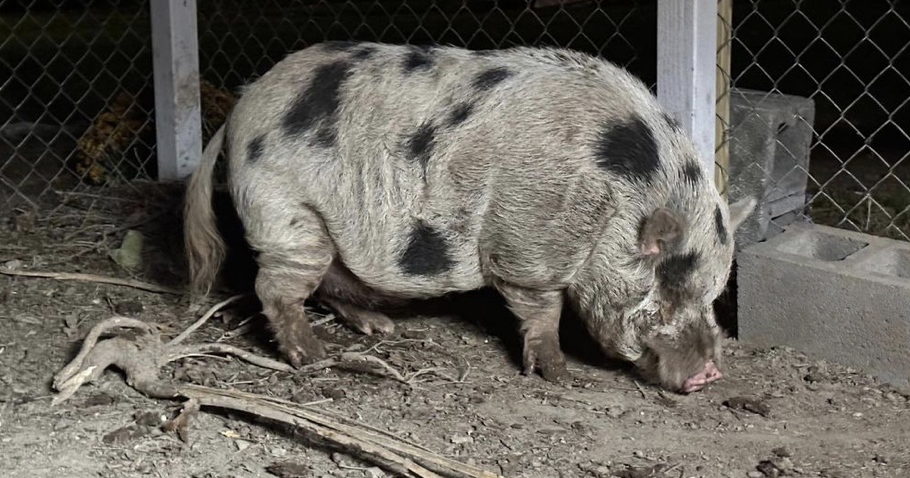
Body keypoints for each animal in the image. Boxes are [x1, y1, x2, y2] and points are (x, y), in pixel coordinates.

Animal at [183, 41, 755, 393]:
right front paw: (559, 375)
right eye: (666, 287)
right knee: (275, 286)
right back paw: (312, 355)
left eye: (713, 293)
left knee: (329, 280)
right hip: (286, 210)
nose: (709, 375)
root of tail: (237, 112)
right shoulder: (528, 248)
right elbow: (543, 310)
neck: (612, 207)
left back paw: (380, 327)